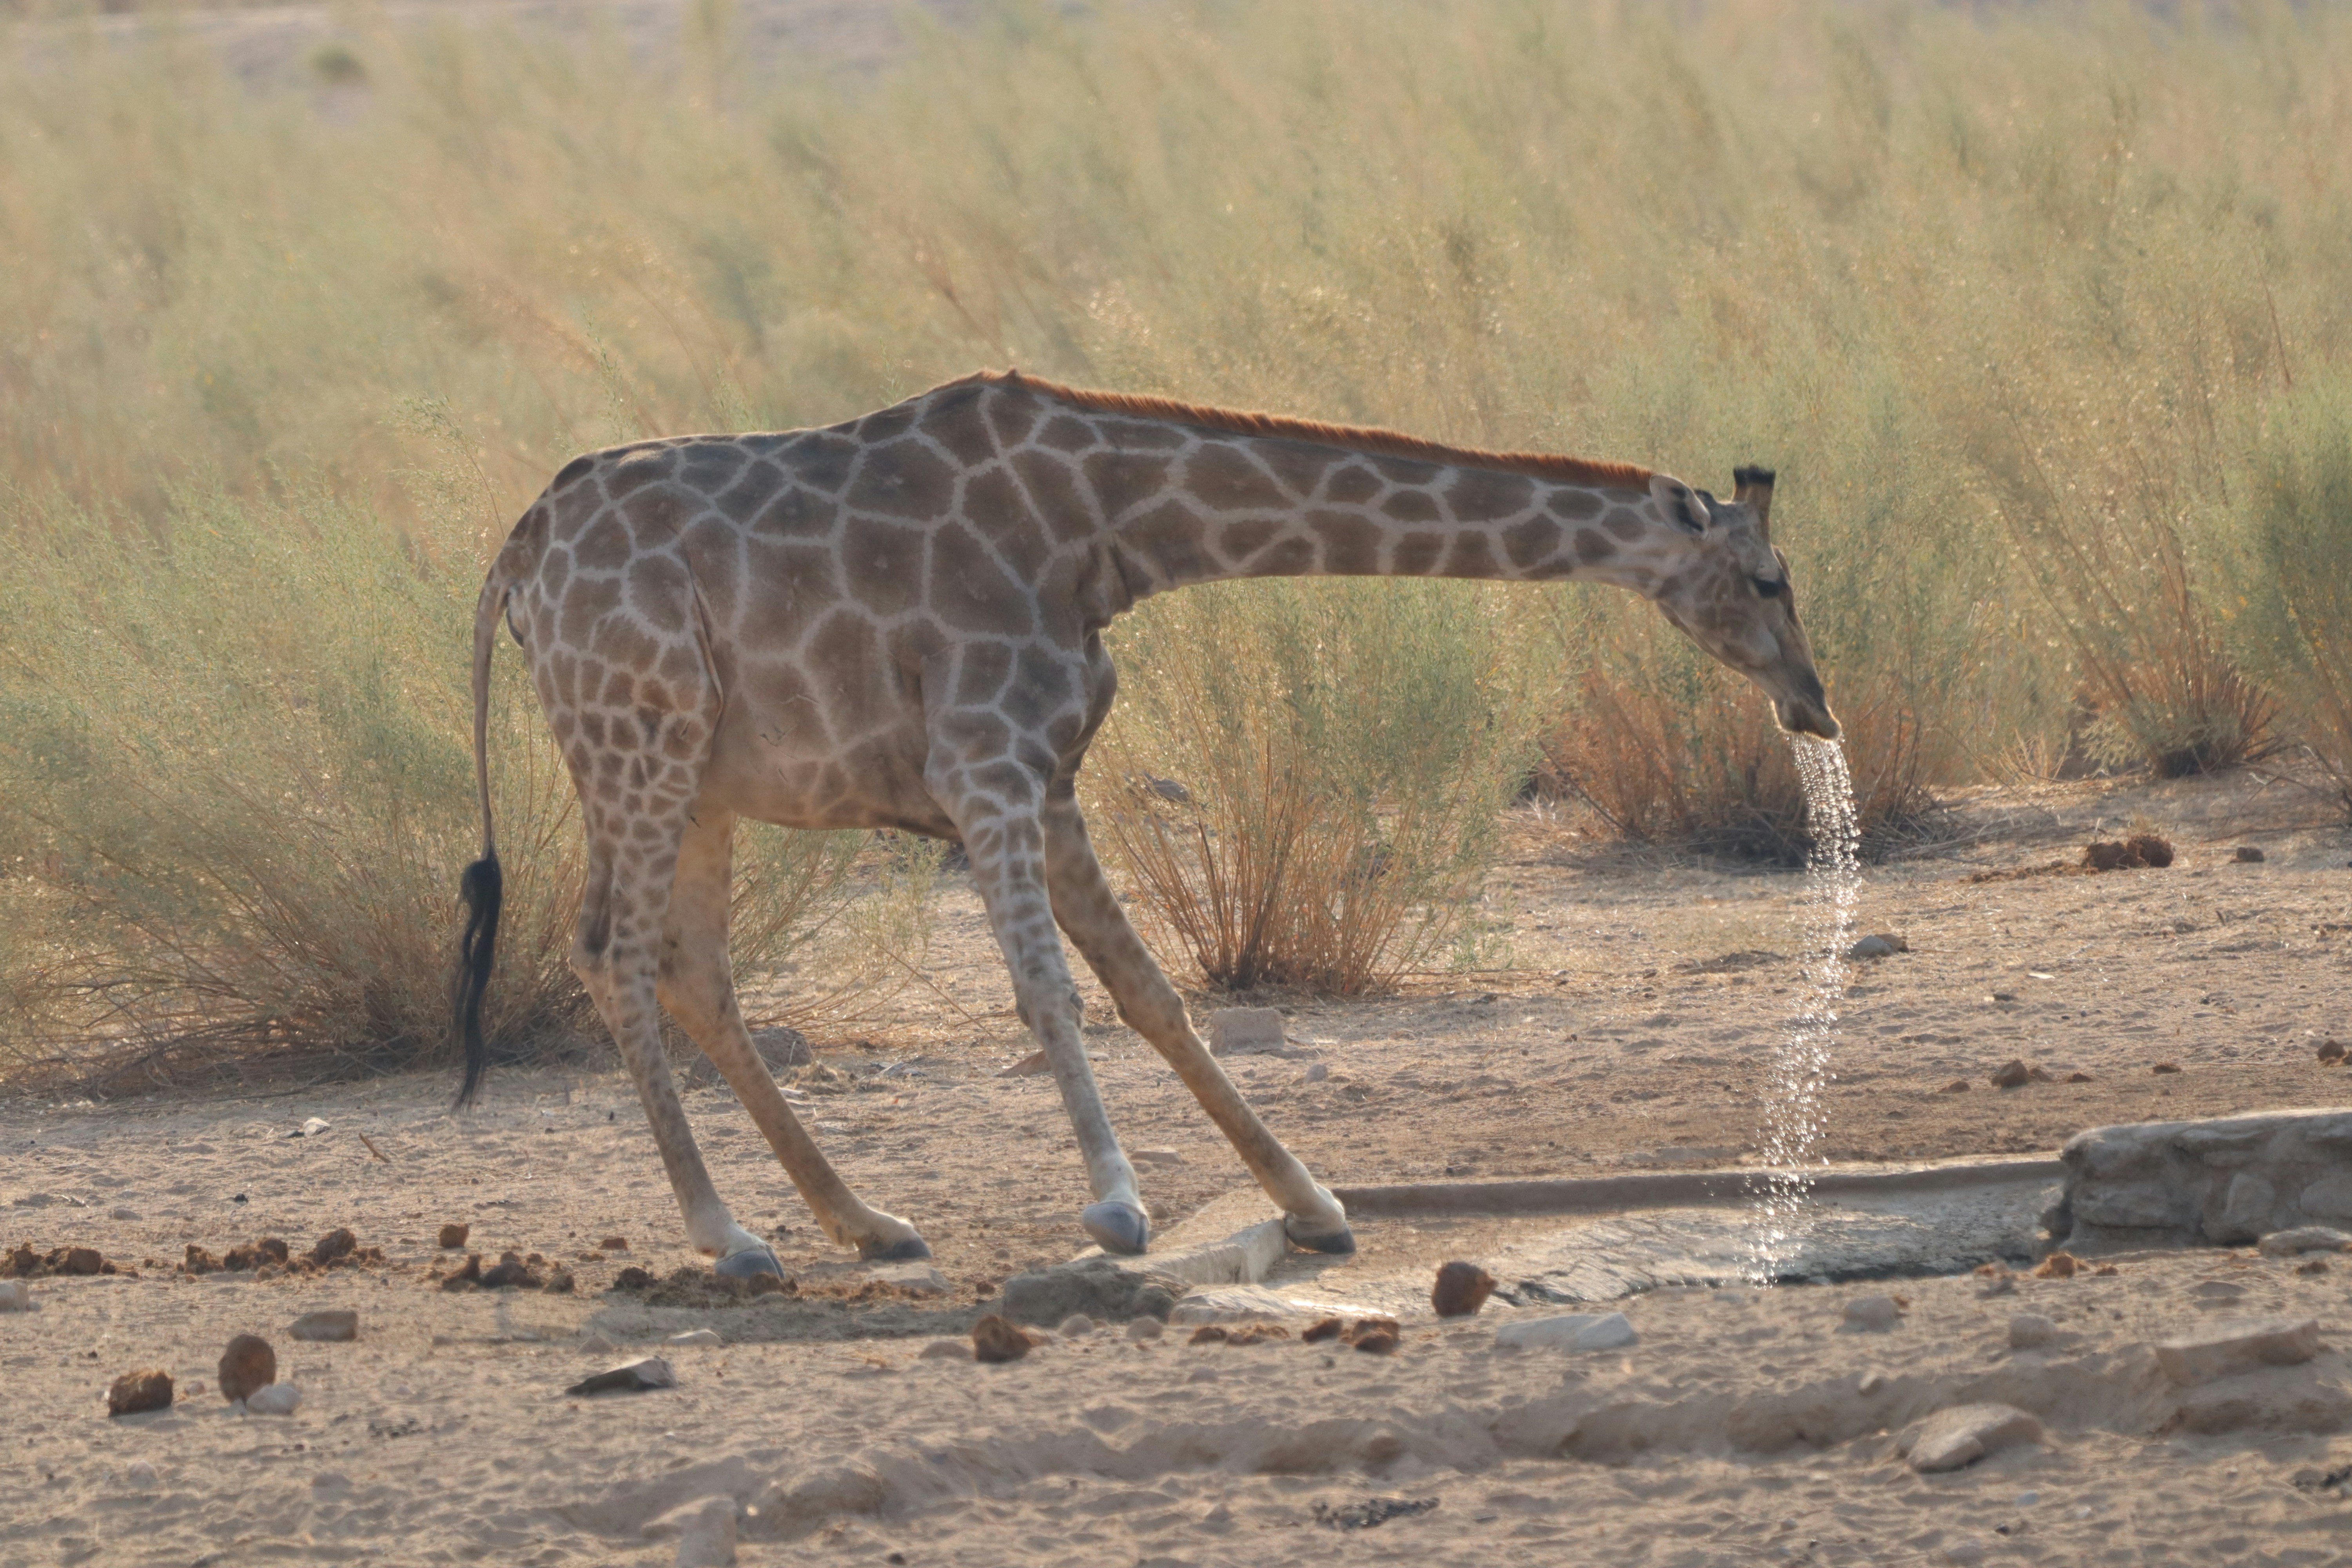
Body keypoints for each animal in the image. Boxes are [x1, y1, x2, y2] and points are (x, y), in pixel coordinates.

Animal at [451, 369, 1838, 1275]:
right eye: (1768, 579)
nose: (1814, 708)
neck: (1111, 527)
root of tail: (513, 562)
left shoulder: (1051, 770)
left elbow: (1151, 991)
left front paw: (1312, 1201)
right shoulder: (986, 759)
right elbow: (1051, 992)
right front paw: (1116, 1209)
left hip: (698, 777)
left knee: (693, 970)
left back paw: (867, 1222)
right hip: (639, 740)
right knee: (612, 954)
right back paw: (730, 1236)